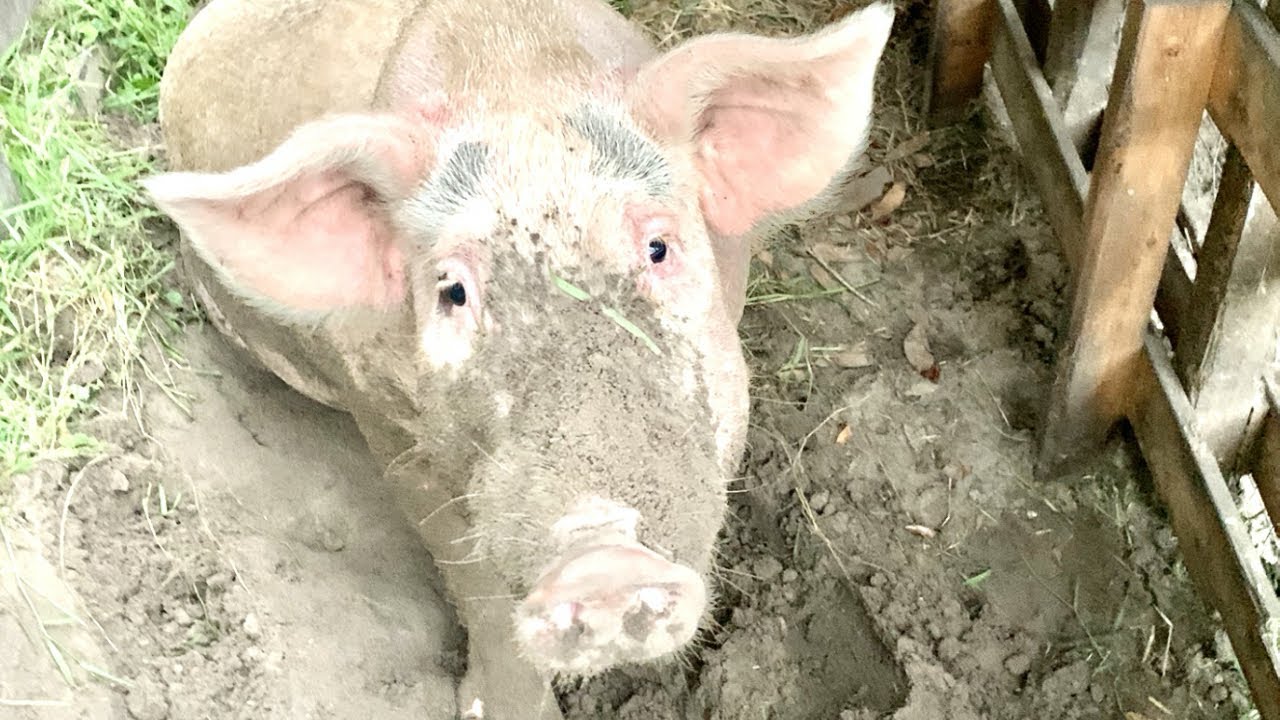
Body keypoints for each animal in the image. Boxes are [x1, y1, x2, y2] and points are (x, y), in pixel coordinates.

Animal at [141, 0, 893, 716]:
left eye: (658, 248)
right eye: (452, 290)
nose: (601, 557)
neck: (515, 75)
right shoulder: (385, 420)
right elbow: (472, 578)